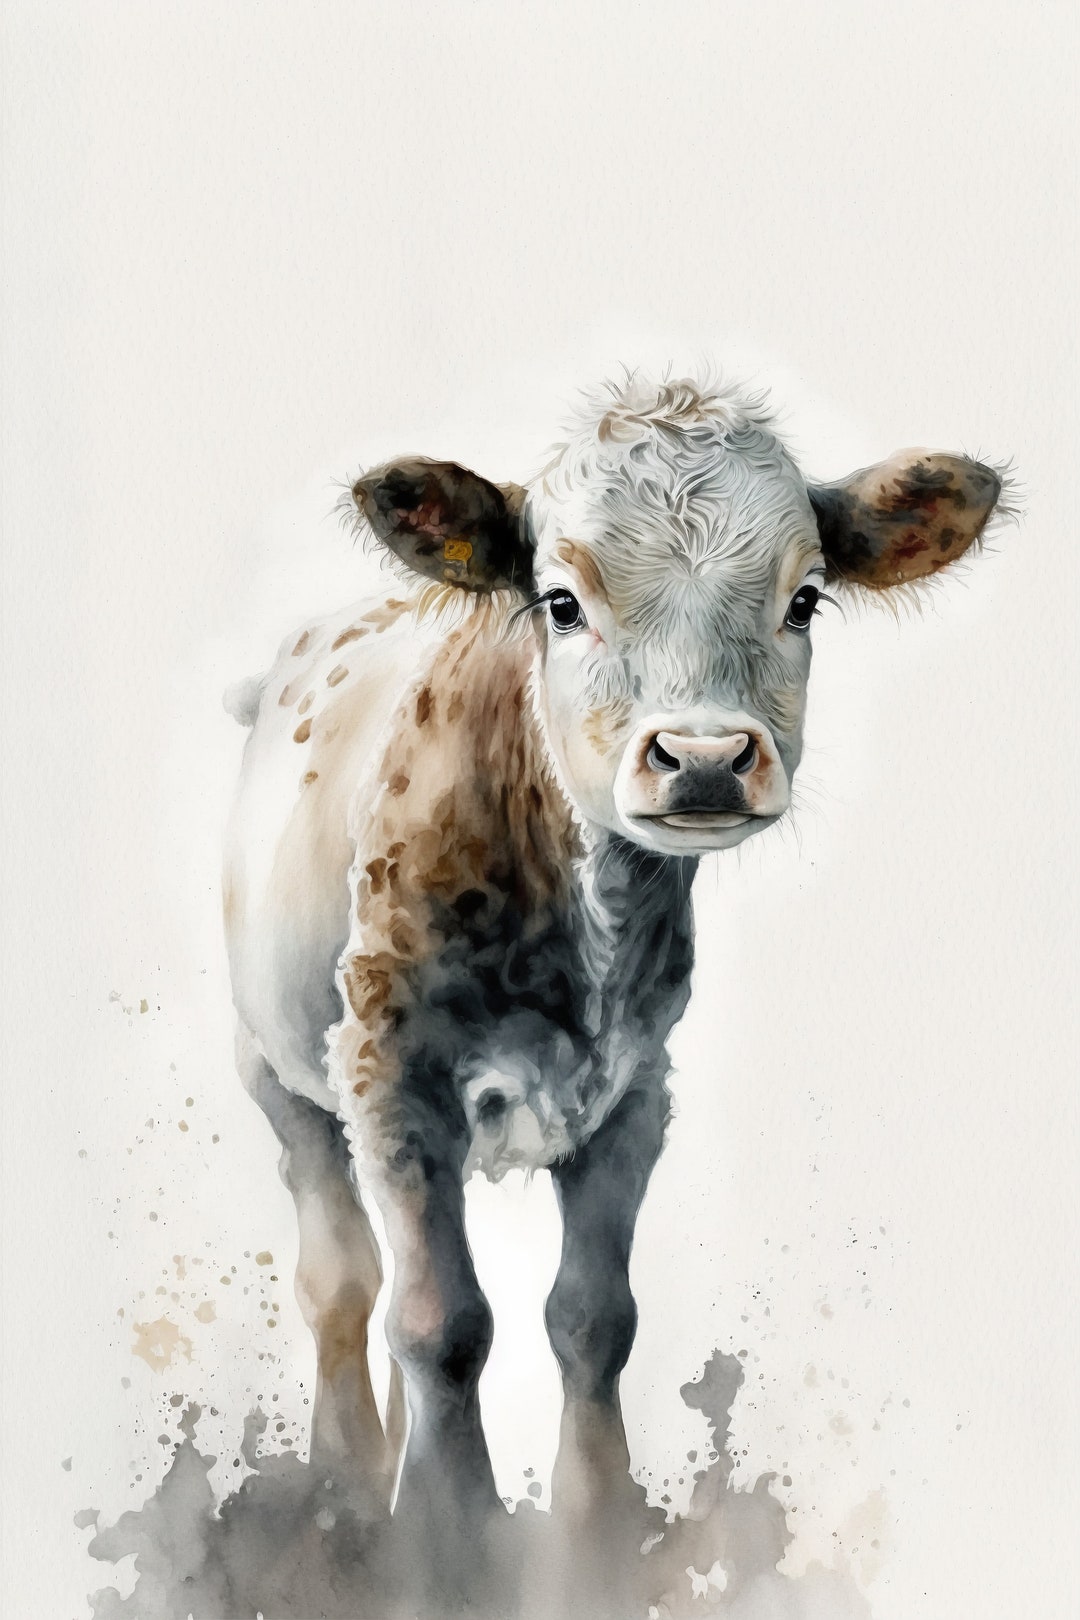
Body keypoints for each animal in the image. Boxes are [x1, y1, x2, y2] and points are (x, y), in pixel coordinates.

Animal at [222, 372, 1005, 1599]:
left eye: (805, 602)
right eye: (559, 602)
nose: (703, 759)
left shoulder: (635, 1092)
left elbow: (592, 1319)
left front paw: (595, 1539)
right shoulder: (394, 1078)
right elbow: (441, 1322)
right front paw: (447, 1550)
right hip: (279, 1071)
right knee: (346, 1289)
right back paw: (349, 1488)